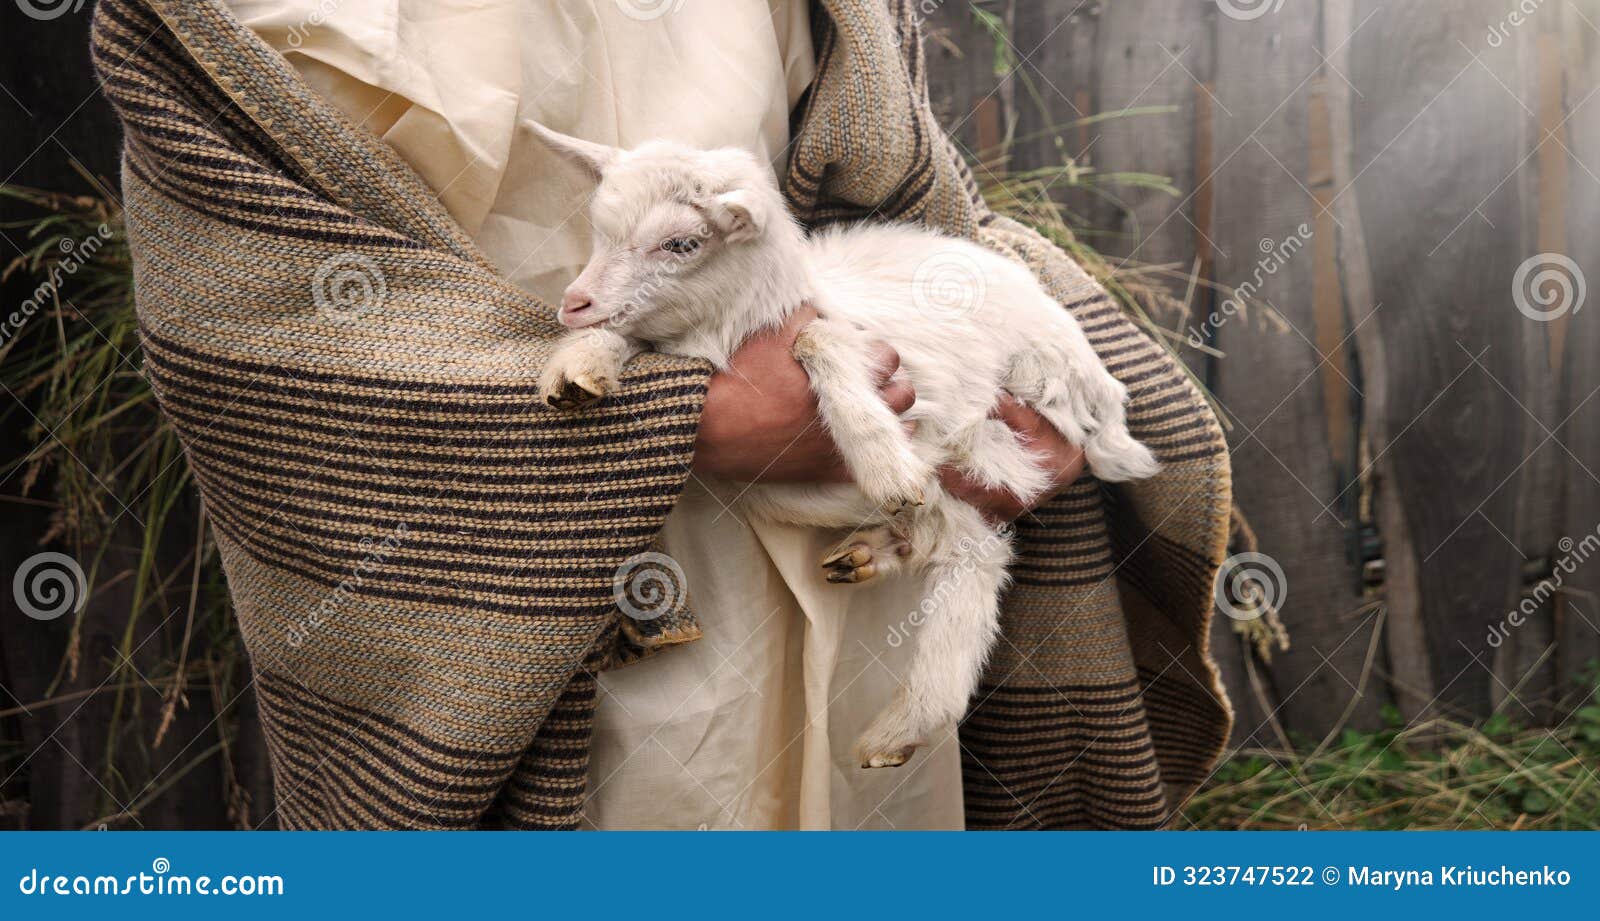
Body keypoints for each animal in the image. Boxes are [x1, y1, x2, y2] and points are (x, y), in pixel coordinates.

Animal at [531, 124, 1160, 769]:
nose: (574, 302)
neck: (735, 328)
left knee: (978, 555)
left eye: (680, 244)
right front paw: (579, 367)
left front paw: (882, 463)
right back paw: (871, 559)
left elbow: (818, 339)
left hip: (1018, 414)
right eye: (600, 231)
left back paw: (905, 720)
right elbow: (624, 338)